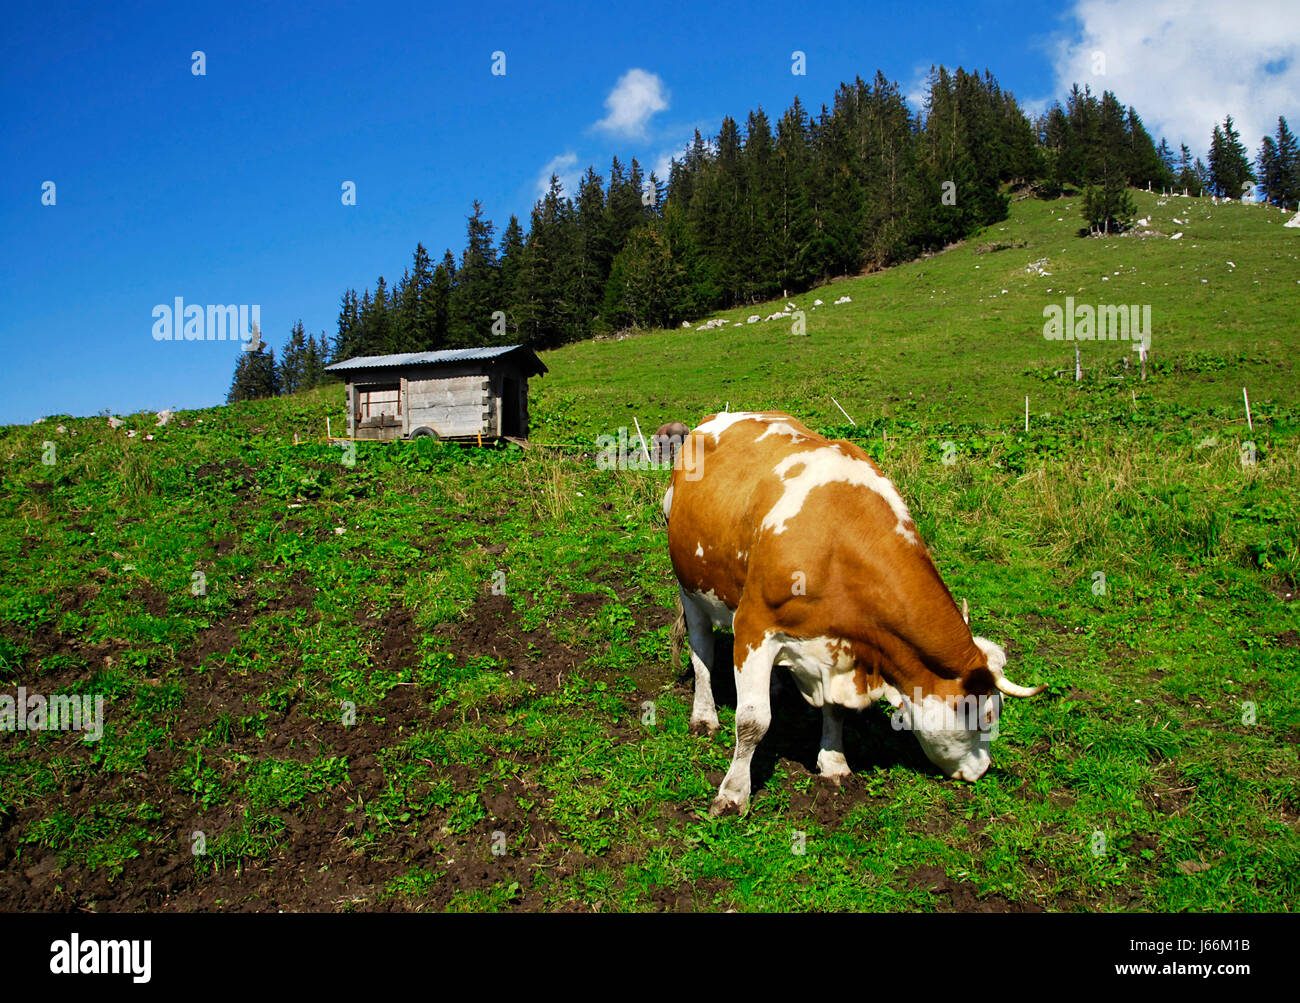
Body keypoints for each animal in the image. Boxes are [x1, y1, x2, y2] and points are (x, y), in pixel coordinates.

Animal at [665, 411, 1044, 816]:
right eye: (986, 714)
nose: (982, 769)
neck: (836, 543)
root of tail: (717, 417)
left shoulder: (841, 648)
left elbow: (835, 709)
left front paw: (834, 762)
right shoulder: (754, 625)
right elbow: (753, 721)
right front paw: (733, 794)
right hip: (690, 587)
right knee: (702, 652)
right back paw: (704, 715)